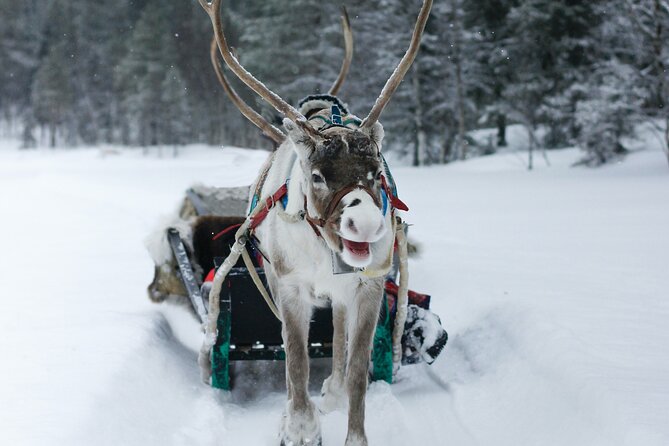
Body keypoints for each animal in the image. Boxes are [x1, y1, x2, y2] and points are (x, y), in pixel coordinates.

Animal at [198, 1, 433, 445]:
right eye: (319, 175)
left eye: (376, 172)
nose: (365, 224)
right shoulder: (289, 286)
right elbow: (296, 360)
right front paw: (300, 427)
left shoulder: (369, 286)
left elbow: (357, 370)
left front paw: (352, 430)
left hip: (342, 292)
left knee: (339, 335)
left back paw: (334, 391)